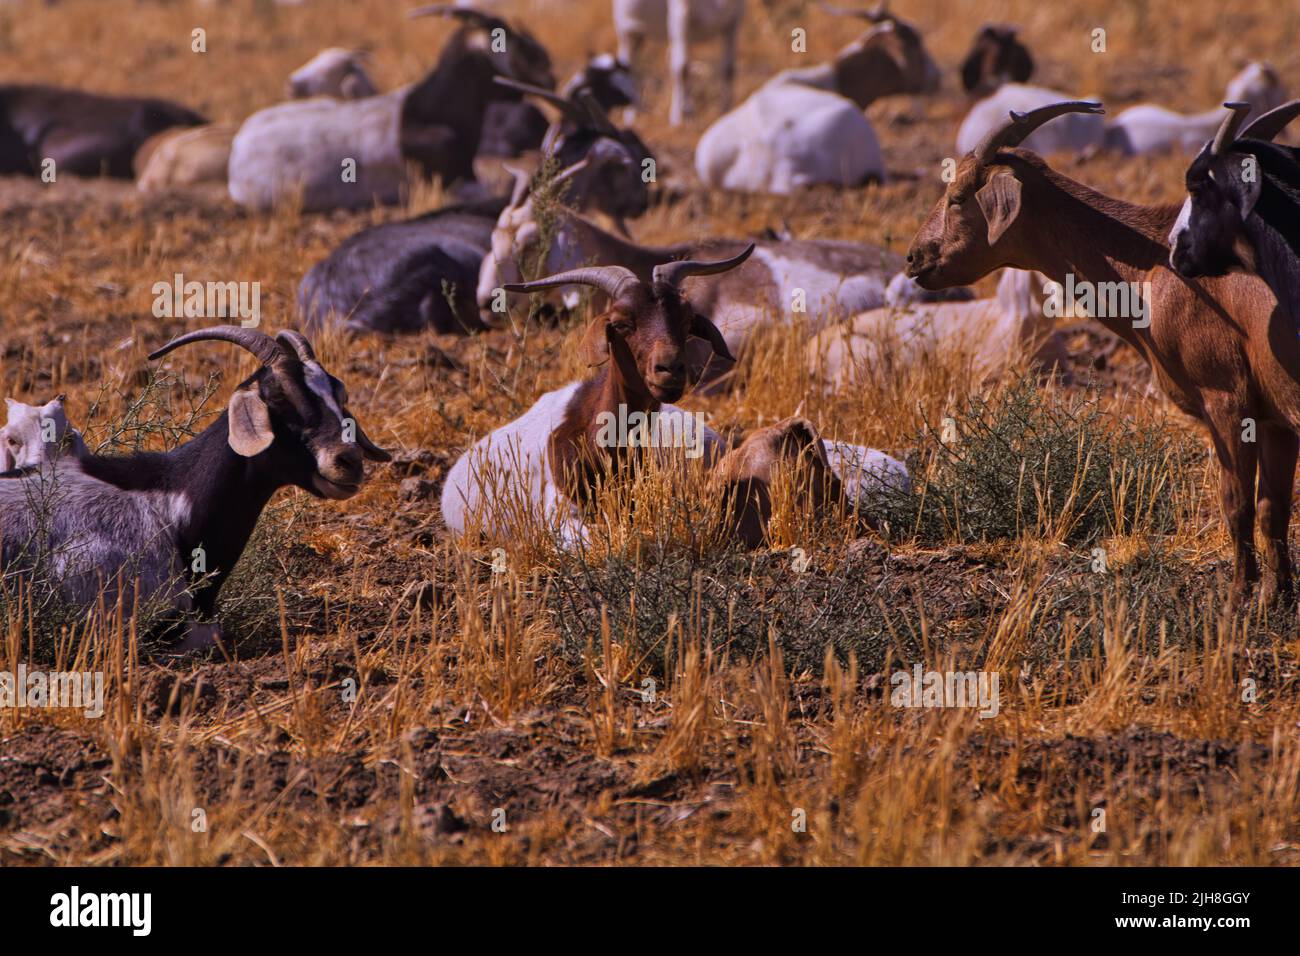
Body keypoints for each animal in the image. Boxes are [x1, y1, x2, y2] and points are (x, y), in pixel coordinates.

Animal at [613, 0, 746, 126]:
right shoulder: (680, 17)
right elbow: (683, 69)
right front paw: (683, 119)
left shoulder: (733, 23)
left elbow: (728, 70)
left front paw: (725, 113)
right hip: (626, 31)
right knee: (628, 65)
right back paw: (632, 115)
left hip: (643, 37)